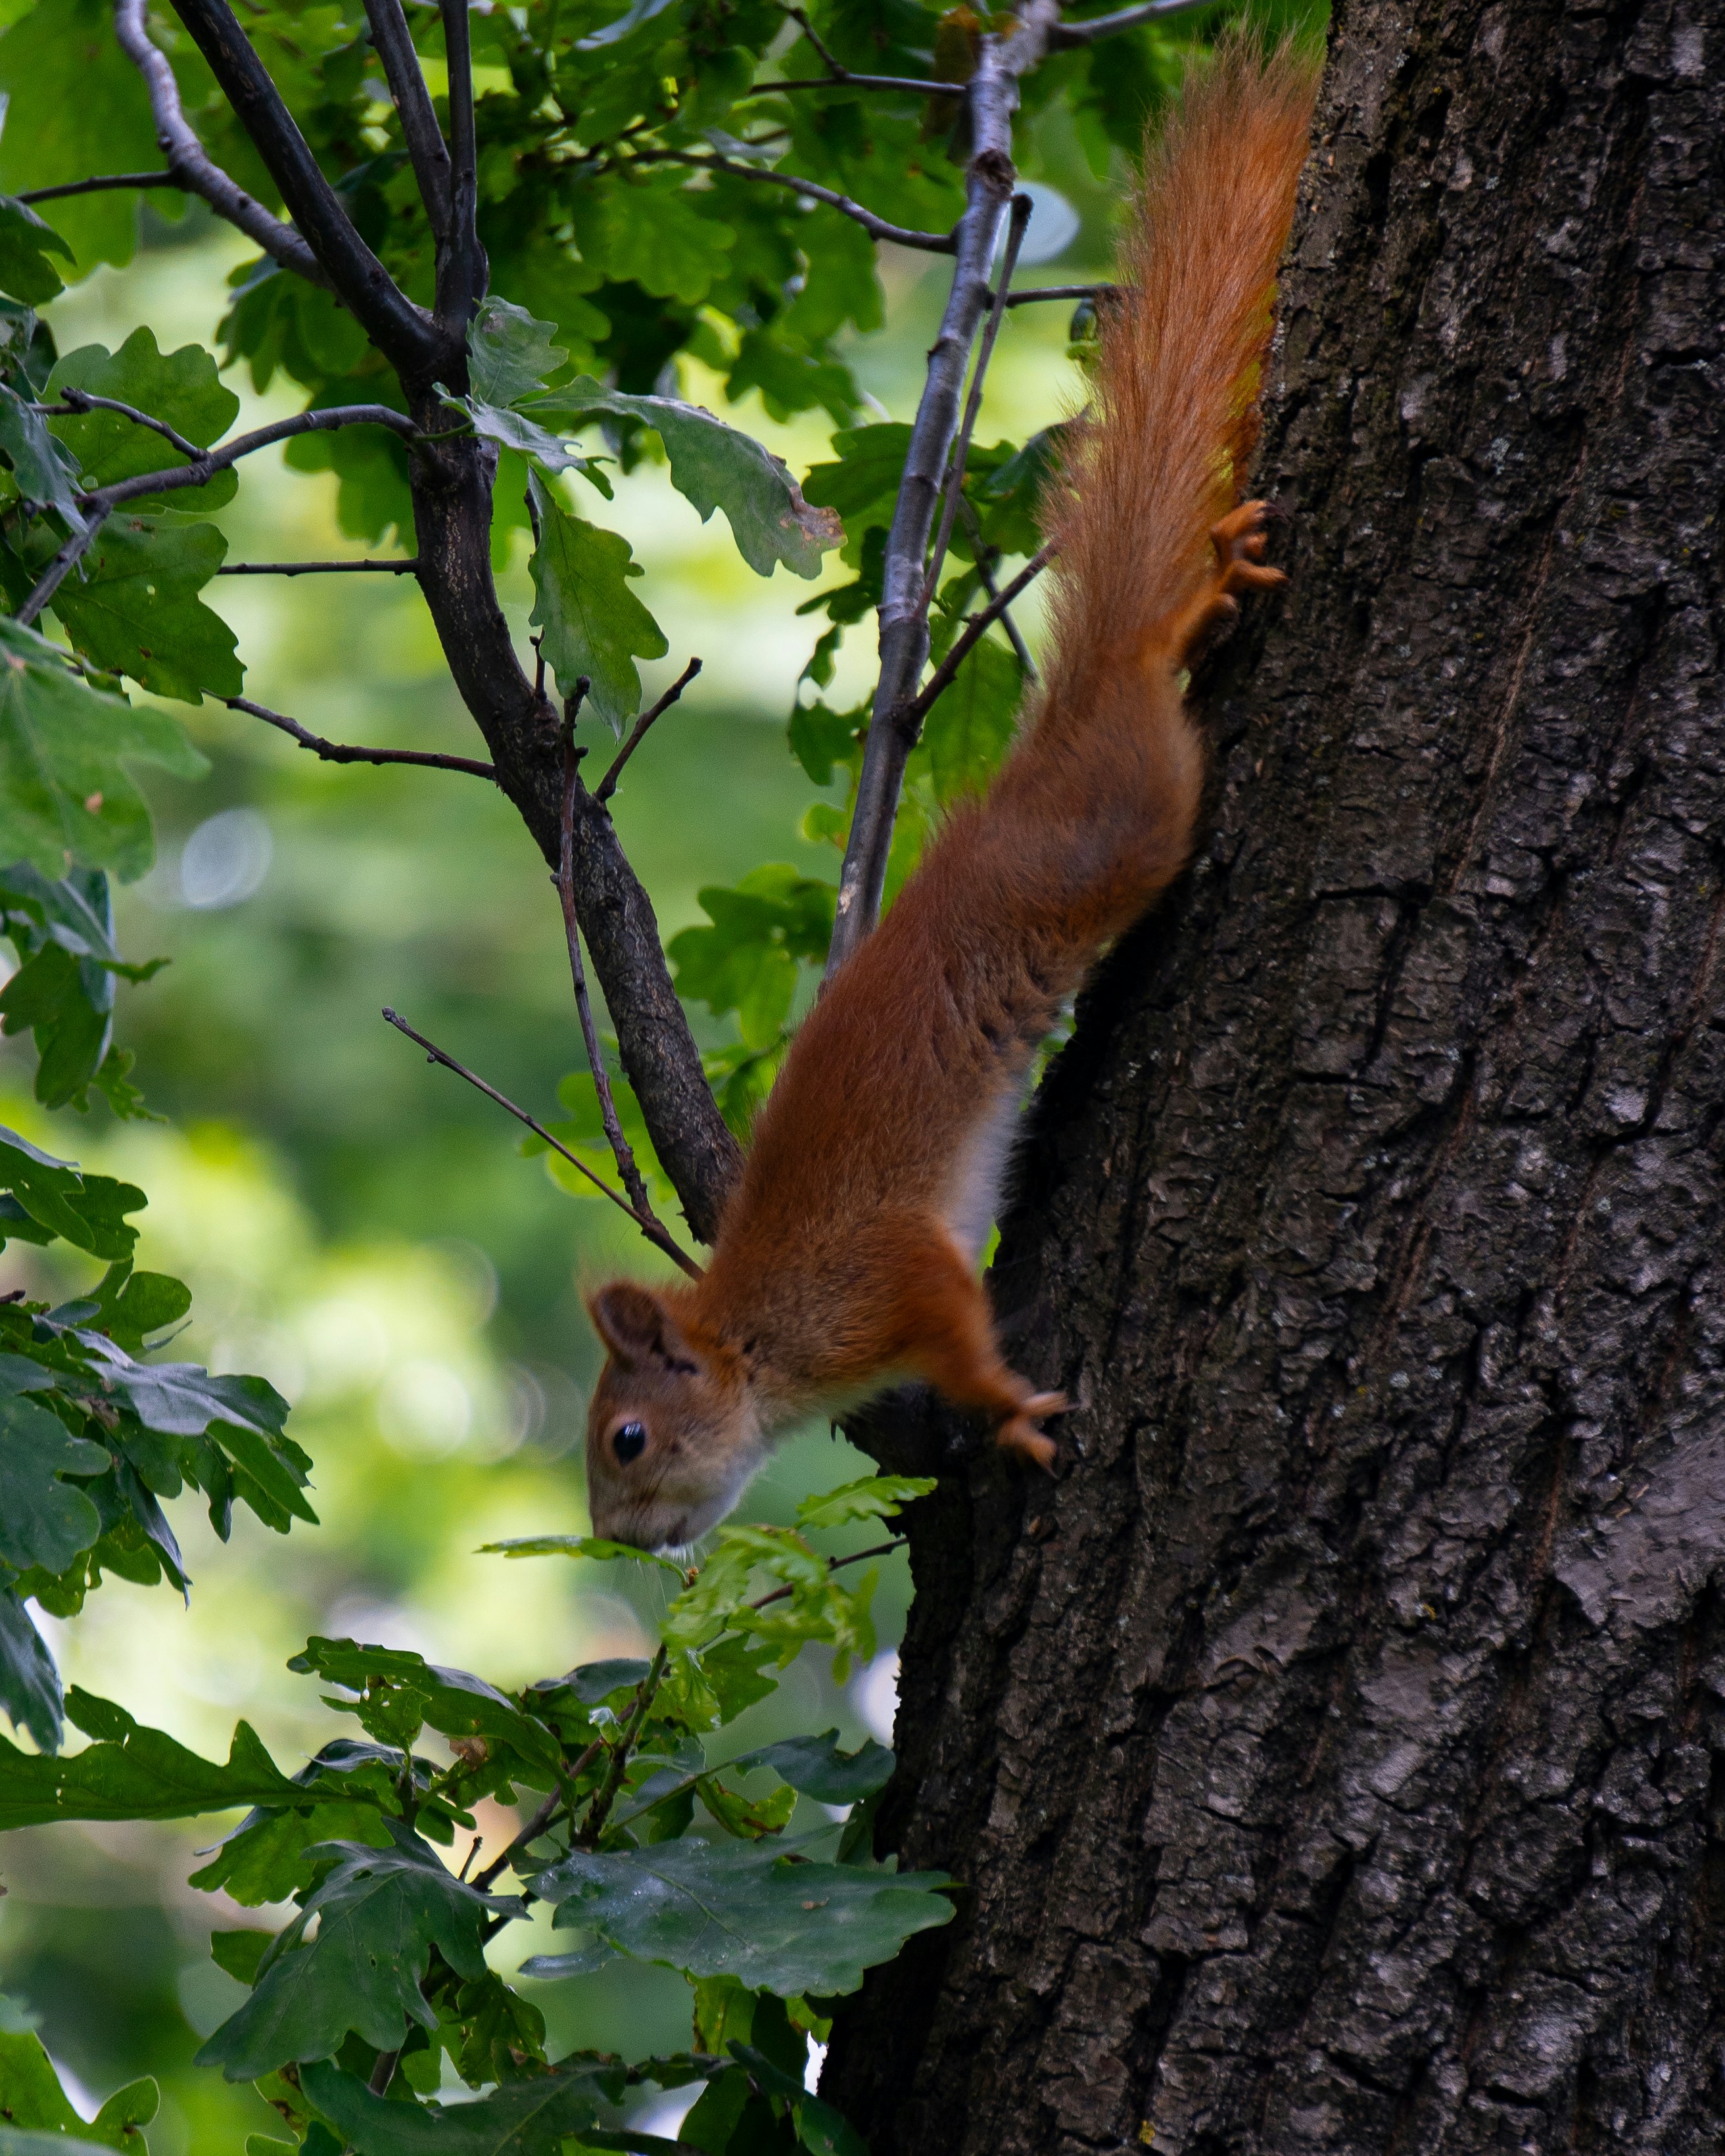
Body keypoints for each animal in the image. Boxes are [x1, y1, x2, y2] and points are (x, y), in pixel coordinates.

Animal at [583, 42, 1320, 1552]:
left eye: (627, 1437)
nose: (620, 1541)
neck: (759, 1335)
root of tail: (1063, 726)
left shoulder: (882, 1278)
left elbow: (958, 1325)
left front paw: (1011, 1412)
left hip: (1129, 814)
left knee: (1147, 694)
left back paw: (1185, 609)